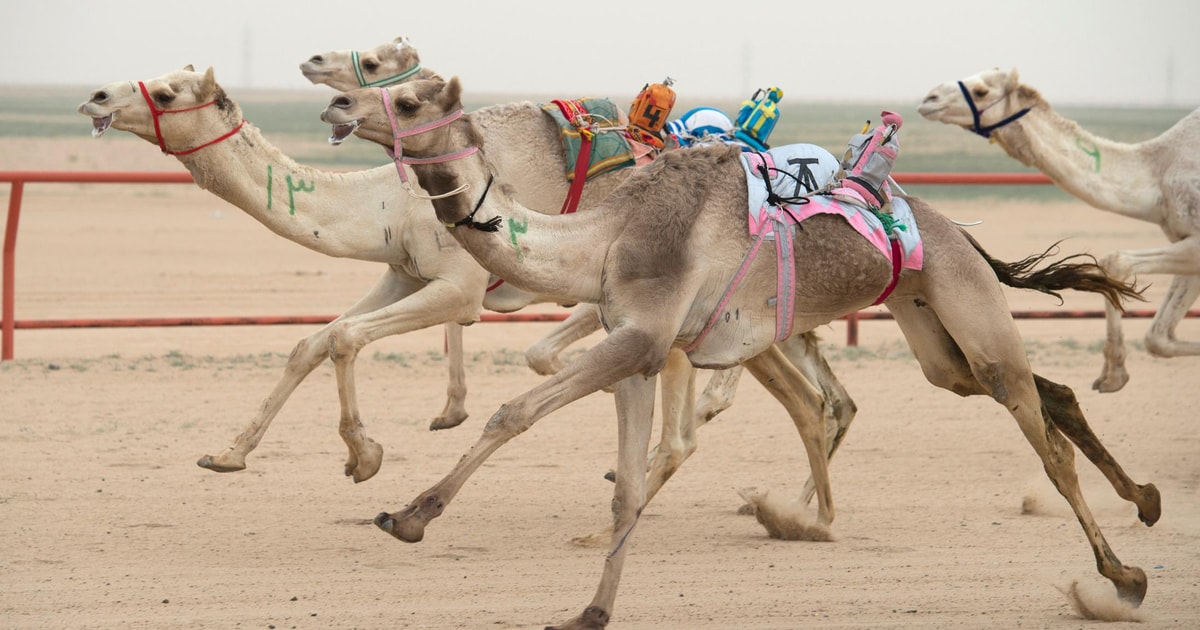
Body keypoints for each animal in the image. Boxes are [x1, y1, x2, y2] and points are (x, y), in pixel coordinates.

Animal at [321, 77, 1161, 628]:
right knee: (1030, 391)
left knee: (1043, 440)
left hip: (968, 306)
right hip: (931, 331)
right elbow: (627, 482)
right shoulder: (640, 349)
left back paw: (1121, 577)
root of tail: (953, 229)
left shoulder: (641, 336)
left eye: (408, 98)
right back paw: (1145, 502)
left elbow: (515, 412)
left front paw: (408, 514)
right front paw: (590, 611)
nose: (334, 105)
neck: (607, 234)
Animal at [918, 67, 1200, 393]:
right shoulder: (1186, 241)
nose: (929, 99)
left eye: (981, 91)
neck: (1156, 173)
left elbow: (1116, 262)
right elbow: (1158, 338)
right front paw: (1113, 376)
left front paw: (1113, 375)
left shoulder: (1194, 241)